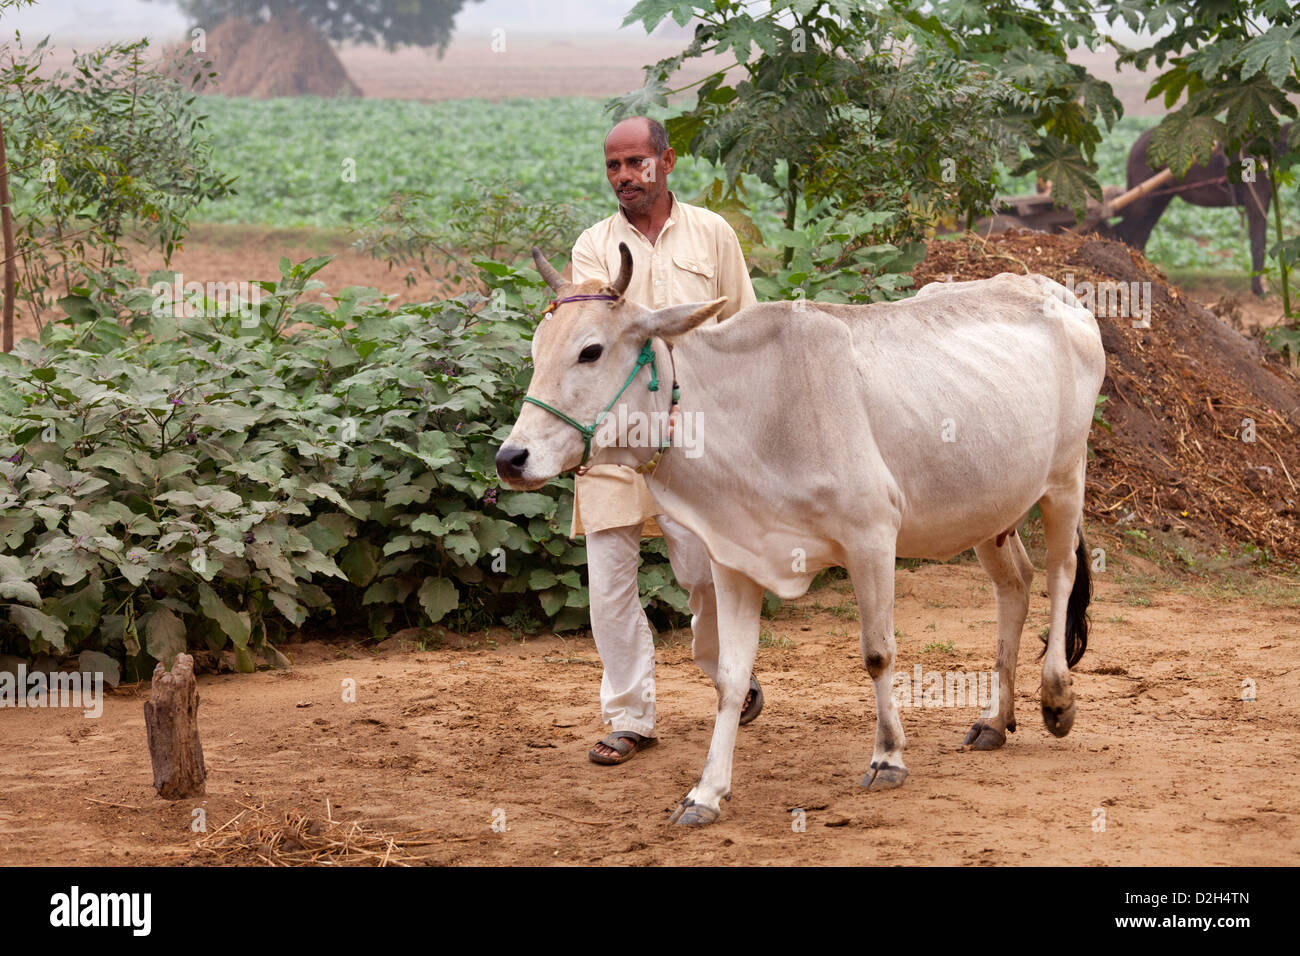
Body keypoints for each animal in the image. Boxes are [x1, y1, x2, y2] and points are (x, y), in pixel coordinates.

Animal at [497, 244, 1107, 825]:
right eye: (536, 352)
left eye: (591, 351)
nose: (510, 458)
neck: (756, 414)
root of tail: (1054, 291)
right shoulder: (733, 558)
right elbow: (730, 679)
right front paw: (705, 793)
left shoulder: (872, 537)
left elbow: (878, 653)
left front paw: (888, 757)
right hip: (990, 507)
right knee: (1016, 585)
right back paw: (996, 720)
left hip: (1064, 478)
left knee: (1060, 574)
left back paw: (1056, 699)